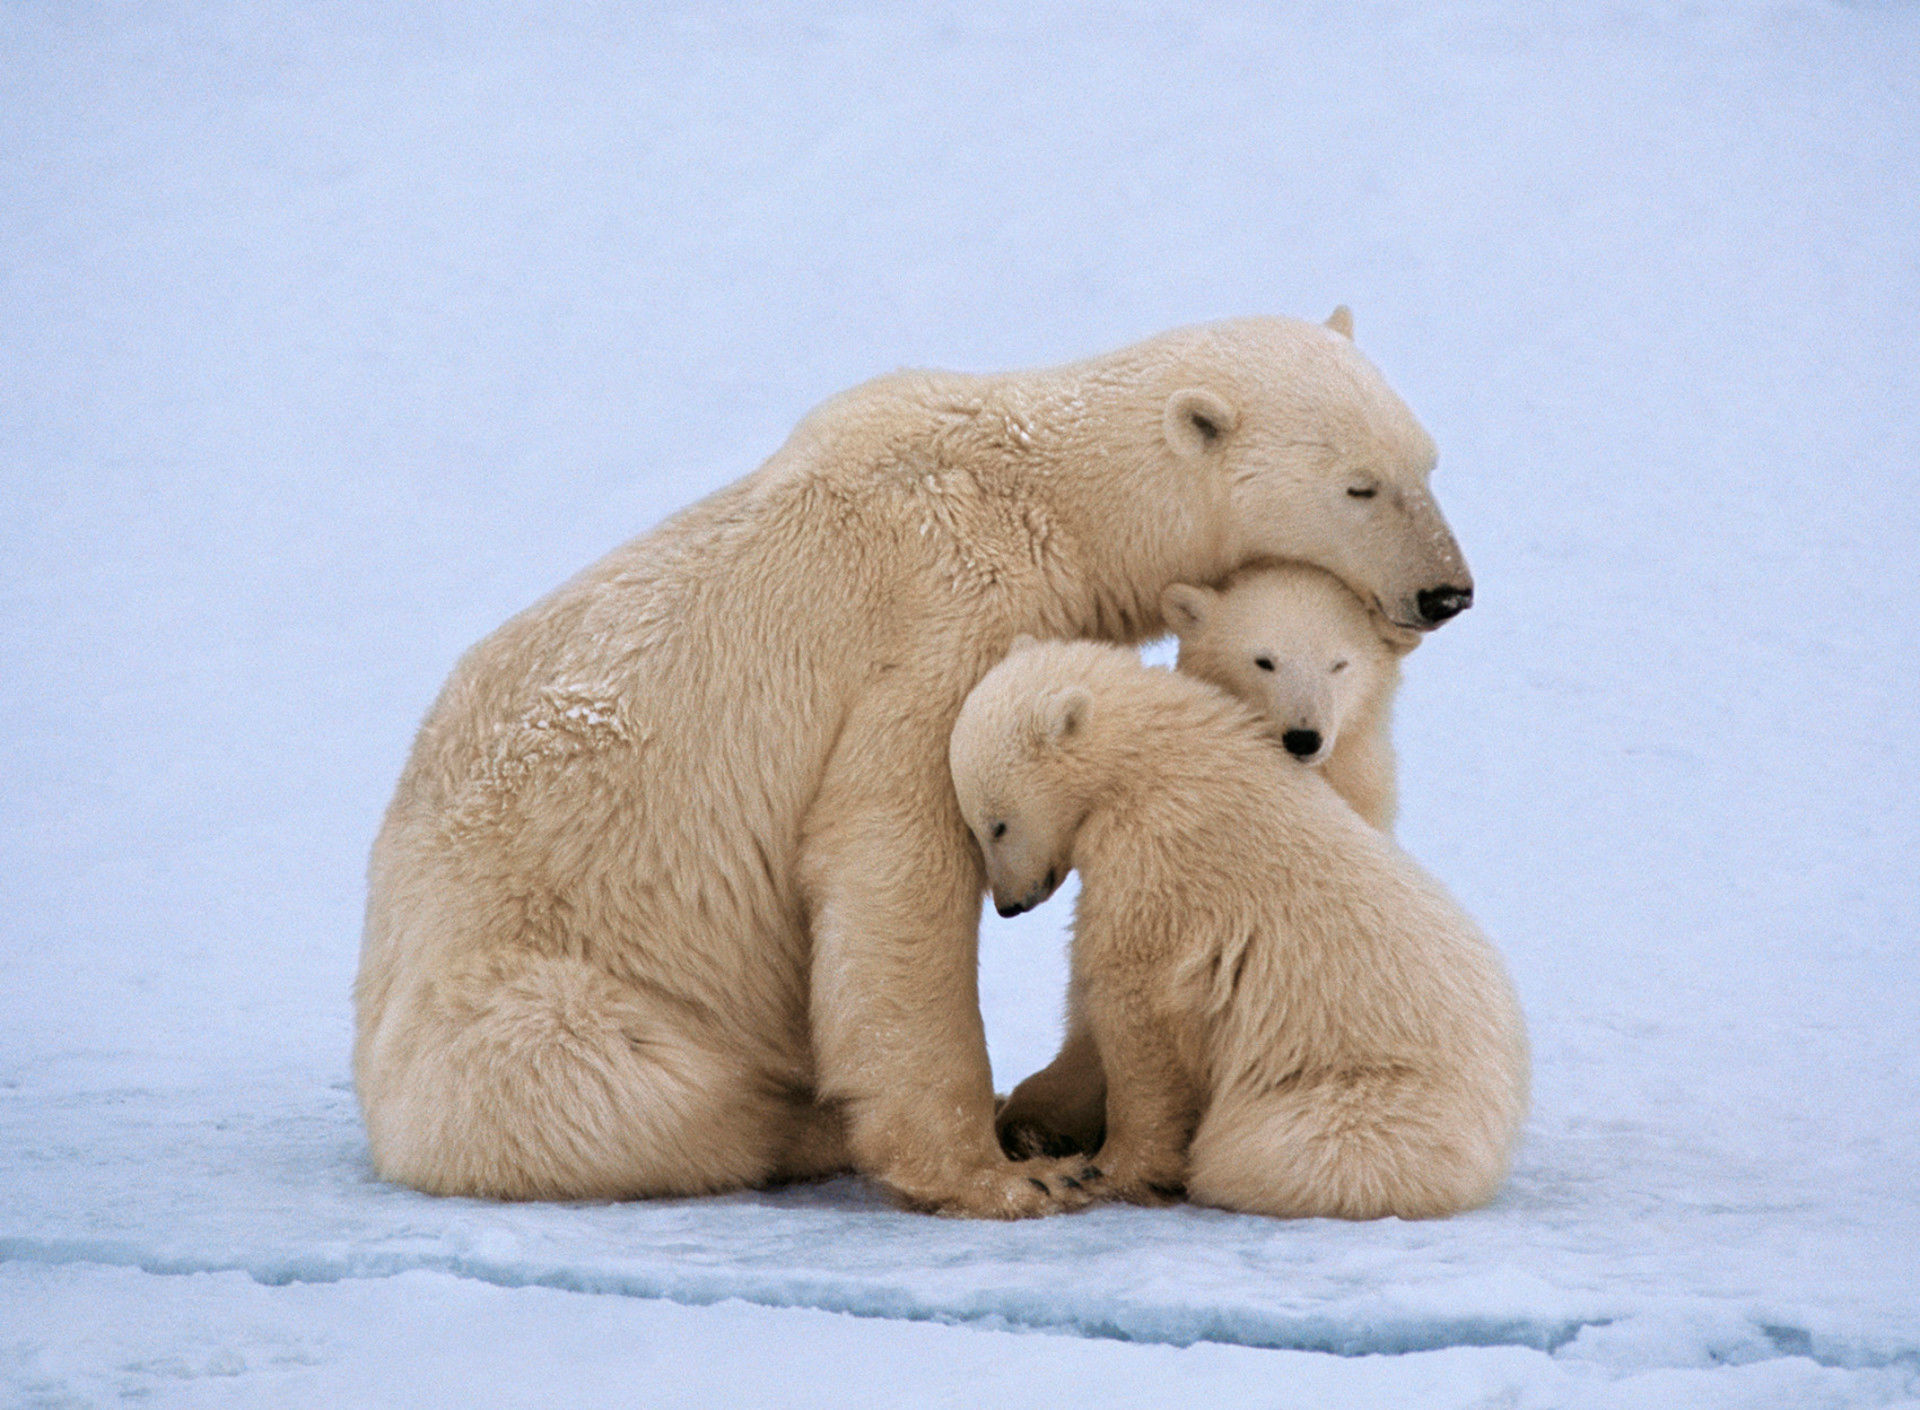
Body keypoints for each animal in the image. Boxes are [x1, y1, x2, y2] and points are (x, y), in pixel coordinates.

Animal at [951, 637, 1528, 1218]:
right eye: (974, 826)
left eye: (997, 824)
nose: (1010, 905)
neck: (1154, 757)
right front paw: (1031, 1121)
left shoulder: (1160, 854)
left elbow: (1134, 1003)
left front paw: (1108, 1169)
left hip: (1369, 1099)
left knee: (1264, 1151)